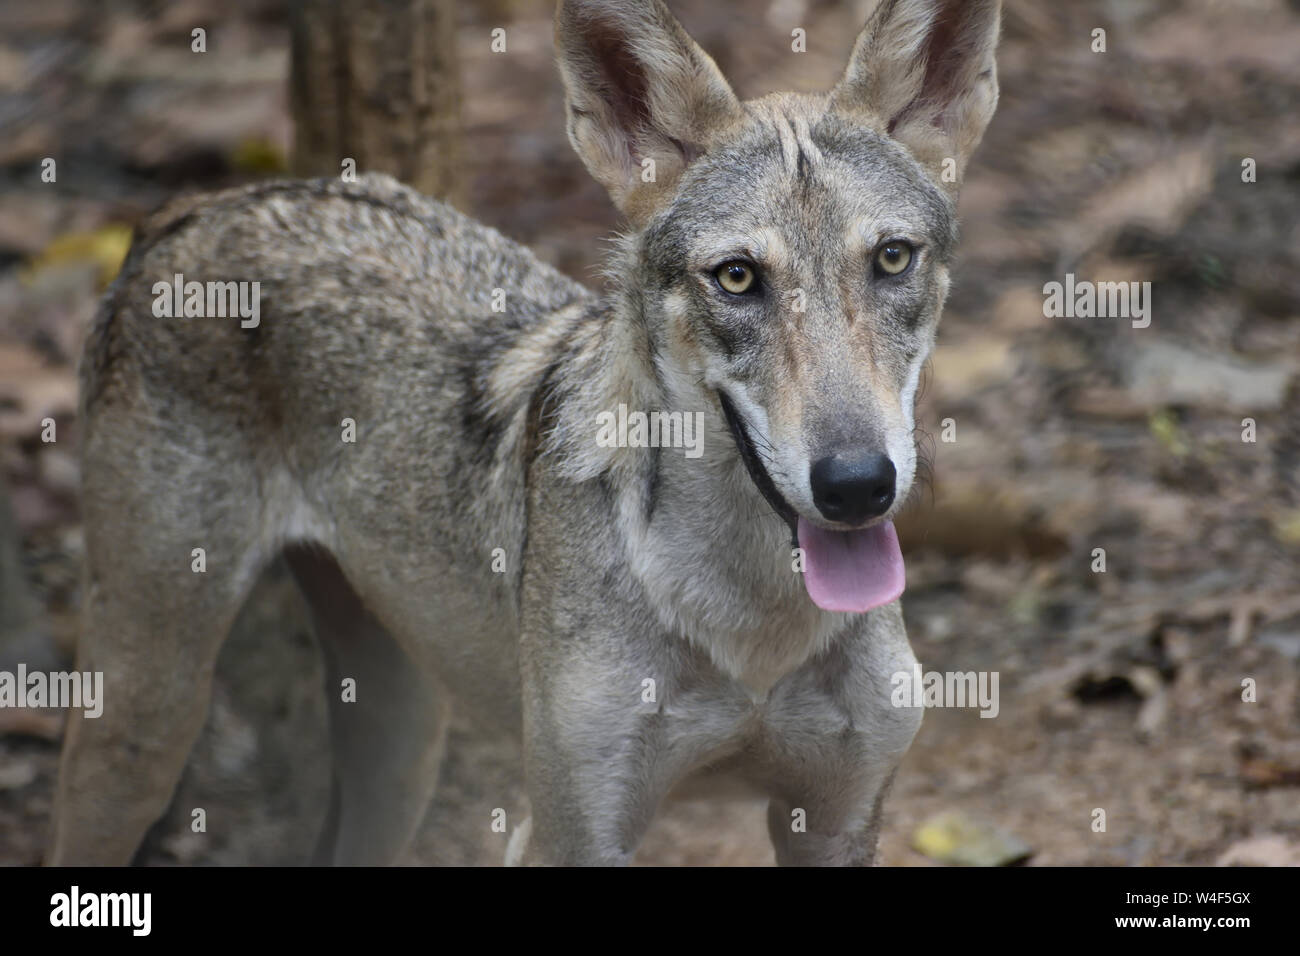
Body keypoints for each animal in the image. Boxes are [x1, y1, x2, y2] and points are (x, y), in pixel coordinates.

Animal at [48, 0, 1000, 865]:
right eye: (737, 278)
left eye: (891, 259)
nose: (856, 484)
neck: (752, 627)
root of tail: (194, 209)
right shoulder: (569, 835)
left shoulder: (837, 821)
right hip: (147, 717)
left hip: (402, 743)